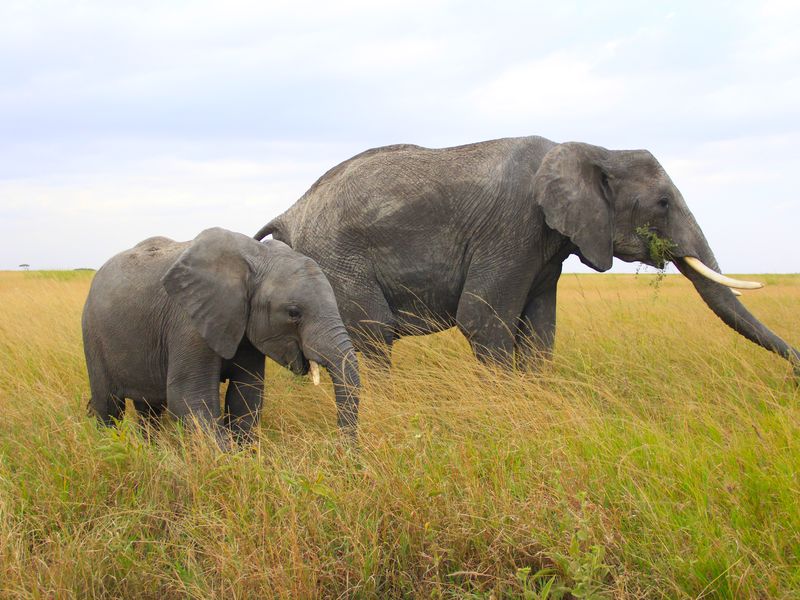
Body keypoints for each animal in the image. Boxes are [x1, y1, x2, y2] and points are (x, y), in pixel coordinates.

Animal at [82, 227, 360, 445]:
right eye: (293, 313)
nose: (338, 447)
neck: (257, 258)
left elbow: (246, 397)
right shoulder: (188, 322)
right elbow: (190, 399)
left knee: (149, 410)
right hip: (92, 334)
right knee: (109, 407)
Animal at [254, 136, 800, 375]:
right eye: (663, 203)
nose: (795, 375)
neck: (590, 147)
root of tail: (291, 212)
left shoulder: (547, 245)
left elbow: (539, 327)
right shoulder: (513, 227)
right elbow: (483, 319)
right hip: (340, 261)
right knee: (373, 334)